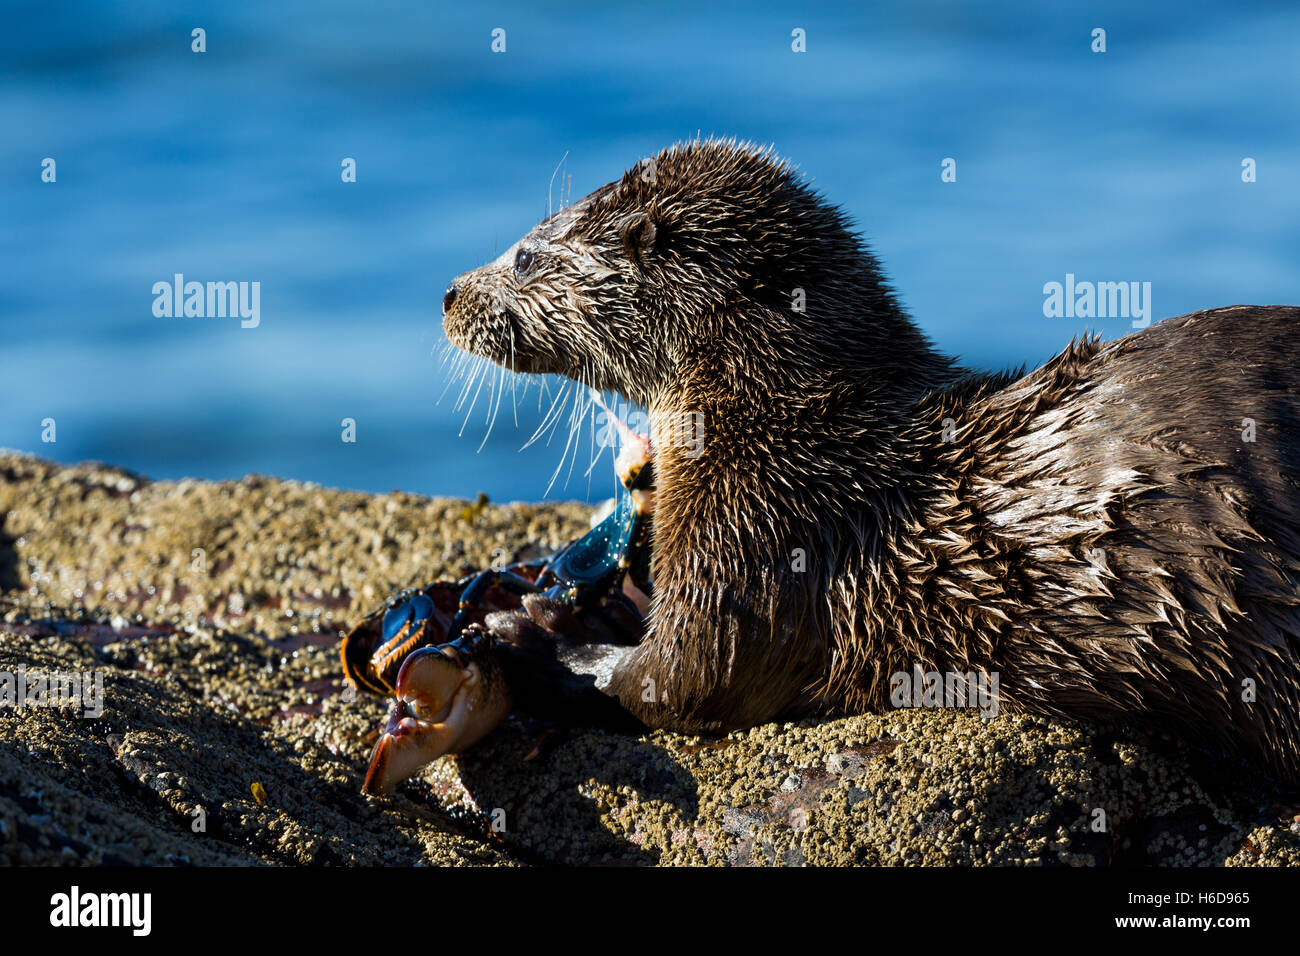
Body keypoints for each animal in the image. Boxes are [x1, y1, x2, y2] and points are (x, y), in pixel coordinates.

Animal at [411, 139, 1300, 788]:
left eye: (526, 256)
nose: (448, 293)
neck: (784, 420)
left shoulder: (761, 533)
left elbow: (682, 678)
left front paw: (527, 637)